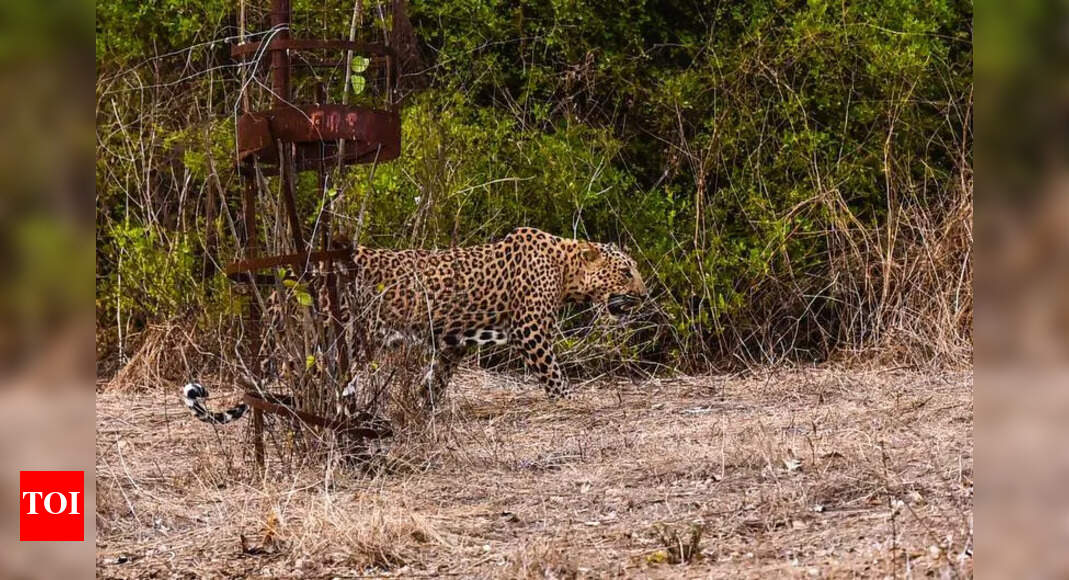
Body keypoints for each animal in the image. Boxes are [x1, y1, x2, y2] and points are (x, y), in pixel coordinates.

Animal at [182, 227, 647, 423]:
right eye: (626, 272)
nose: (644, 295)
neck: (567, 269)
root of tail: (299, 275)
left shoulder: (454, 340)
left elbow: (437, 376)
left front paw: (425, 405)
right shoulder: (532, 331)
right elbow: (553, 375)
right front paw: (570, 403)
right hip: (344, 335)